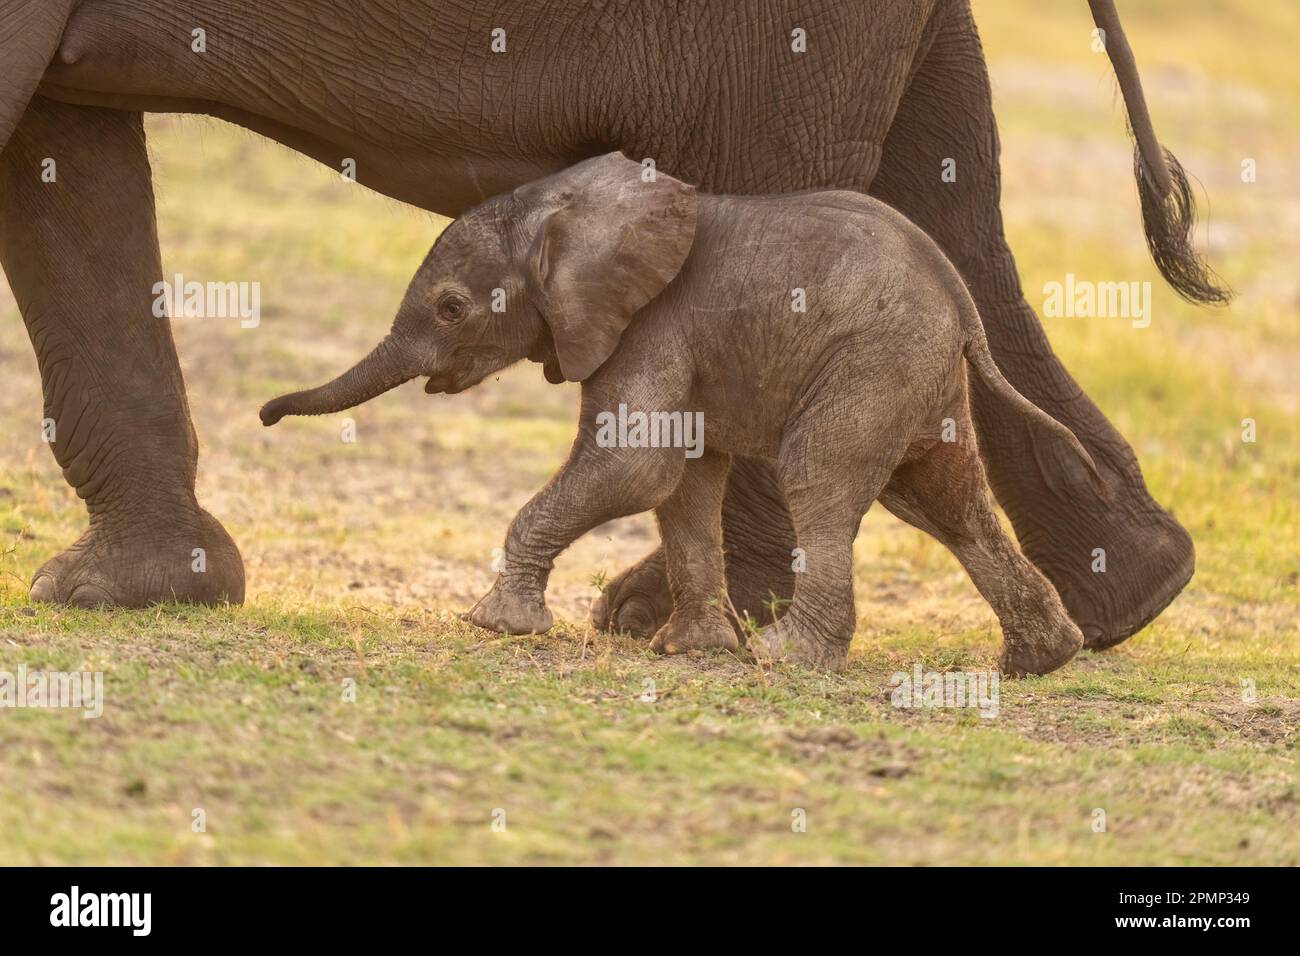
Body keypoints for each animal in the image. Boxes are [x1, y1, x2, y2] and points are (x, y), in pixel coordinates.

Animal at [259, 152, 1099, 676]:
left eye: (451, 307)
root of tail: (960, 300)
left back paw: (787, 660)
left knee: (820, 481)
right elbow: (685, 482)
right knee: (941, 495)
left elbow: (635, 466)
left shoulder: (651, 325)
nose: (265, 415)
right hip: (915, 377)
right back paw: (1041, 659)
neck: (567, 206)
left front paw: (495, 625)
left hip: (874, 365)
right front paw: (688, 652)